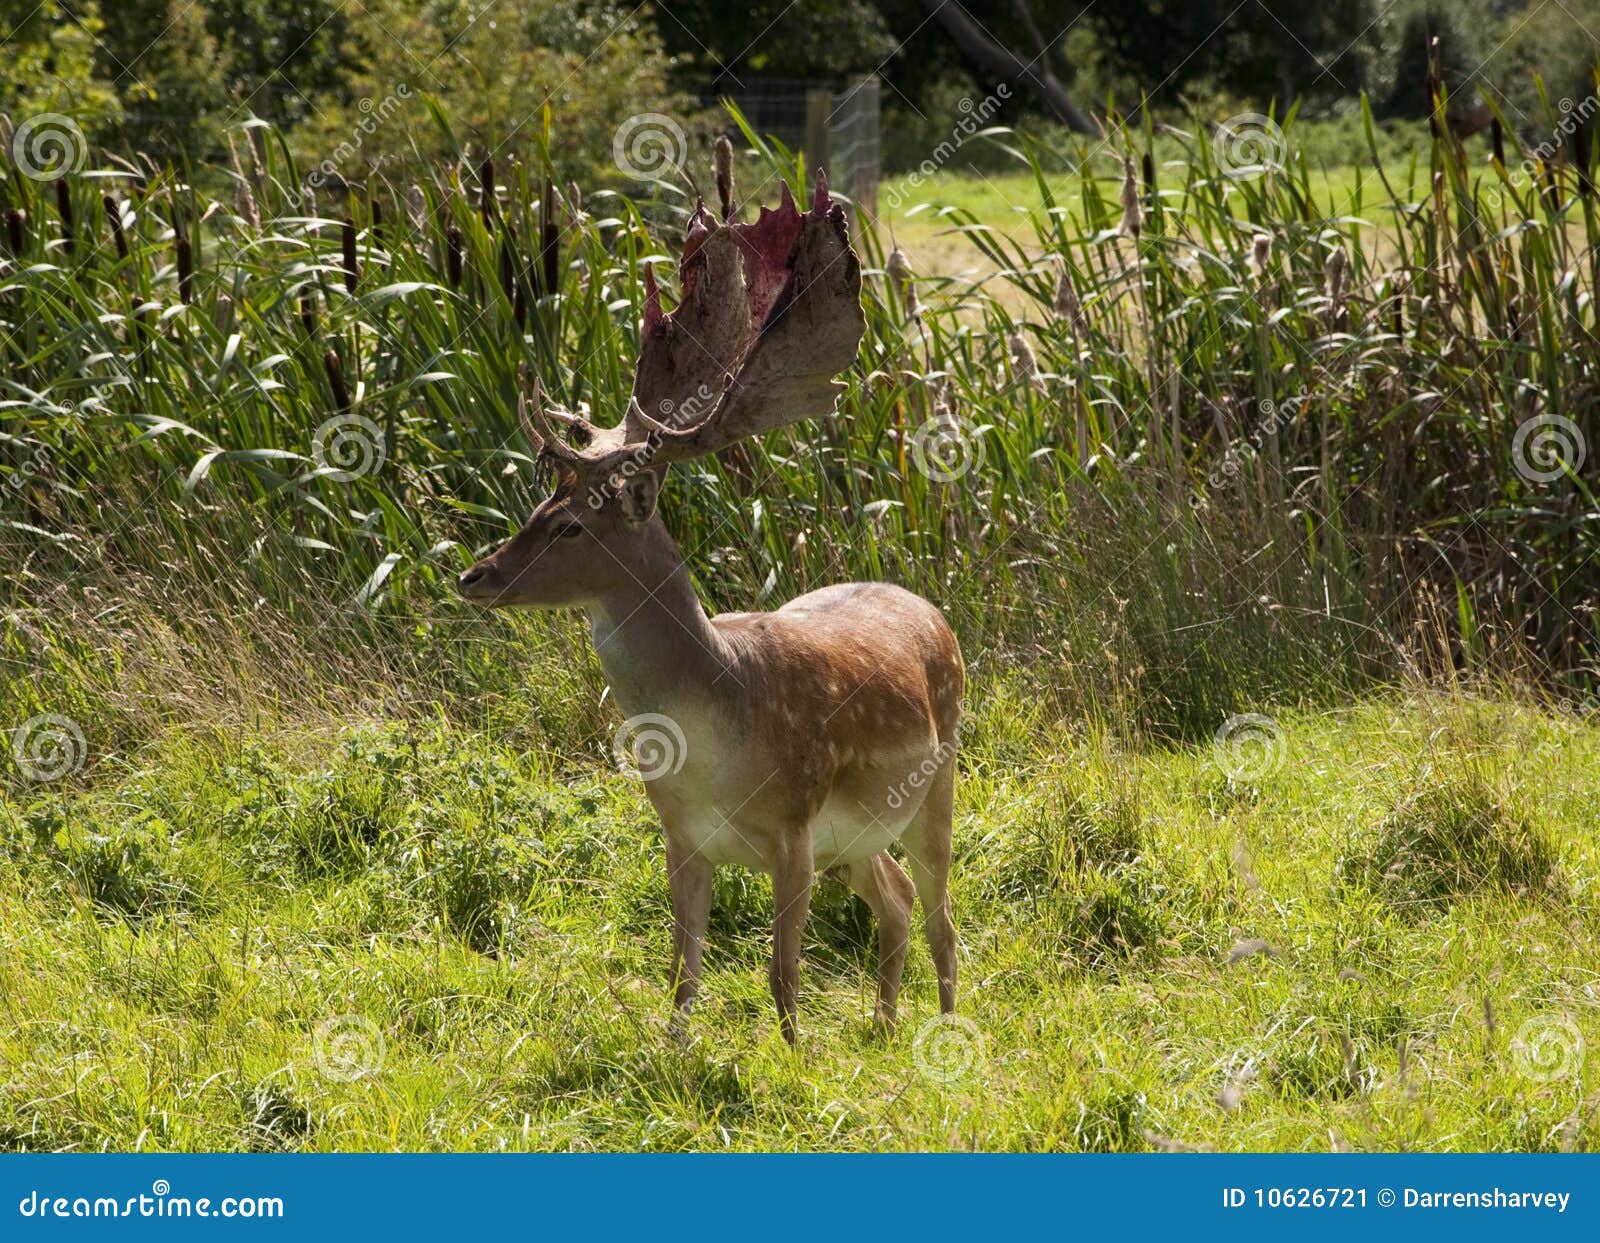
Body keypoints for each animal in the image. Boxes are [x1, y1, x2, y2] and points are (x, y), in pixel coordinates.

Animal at [456, 174, 962, 1045]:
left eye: (572, 522)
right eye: (539, 502)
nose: (475, 575)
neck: (717, 725)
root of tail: (927, 605)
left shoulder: (793, 826)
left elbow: (781, 974)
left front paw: (793, 1058)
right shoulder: (682, 836)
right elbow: (681, 972)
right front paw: (677, 1053)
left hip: (942, 779)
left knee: (941, 916)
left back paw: (950, 1029)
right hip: (858, 833)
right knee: (895, 901)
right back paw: (884, 1024)